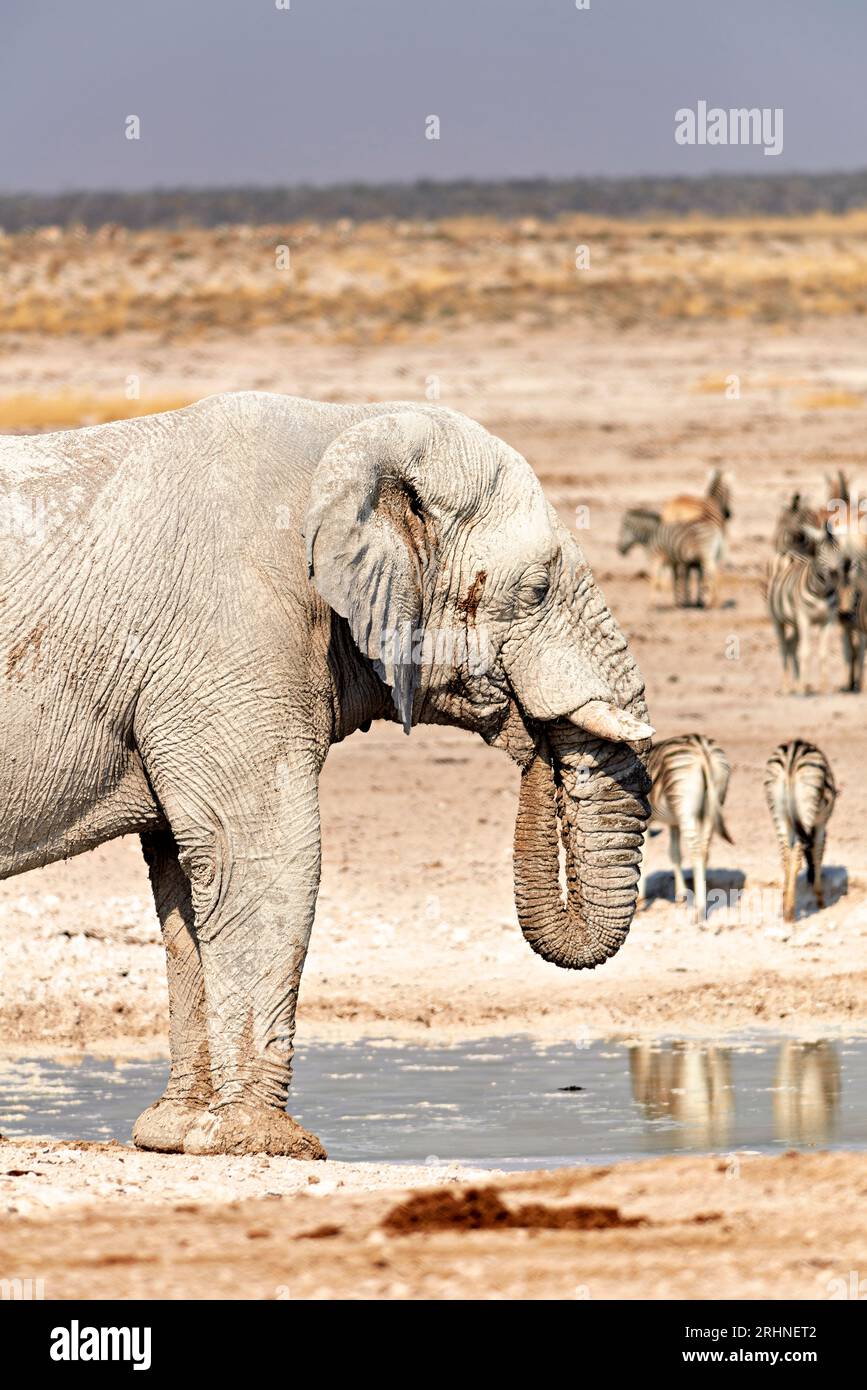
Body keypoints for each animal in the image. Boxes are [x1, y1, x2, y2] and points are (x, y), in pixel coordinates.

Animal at [0, 392, 652, 1157]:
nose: (535, 743)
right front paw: (265, 1144)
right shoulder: (234, 632)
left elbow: (185, 872)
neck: (349, 429)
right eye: (539, 588)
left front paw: (178, 1134)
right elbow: (260, 853)